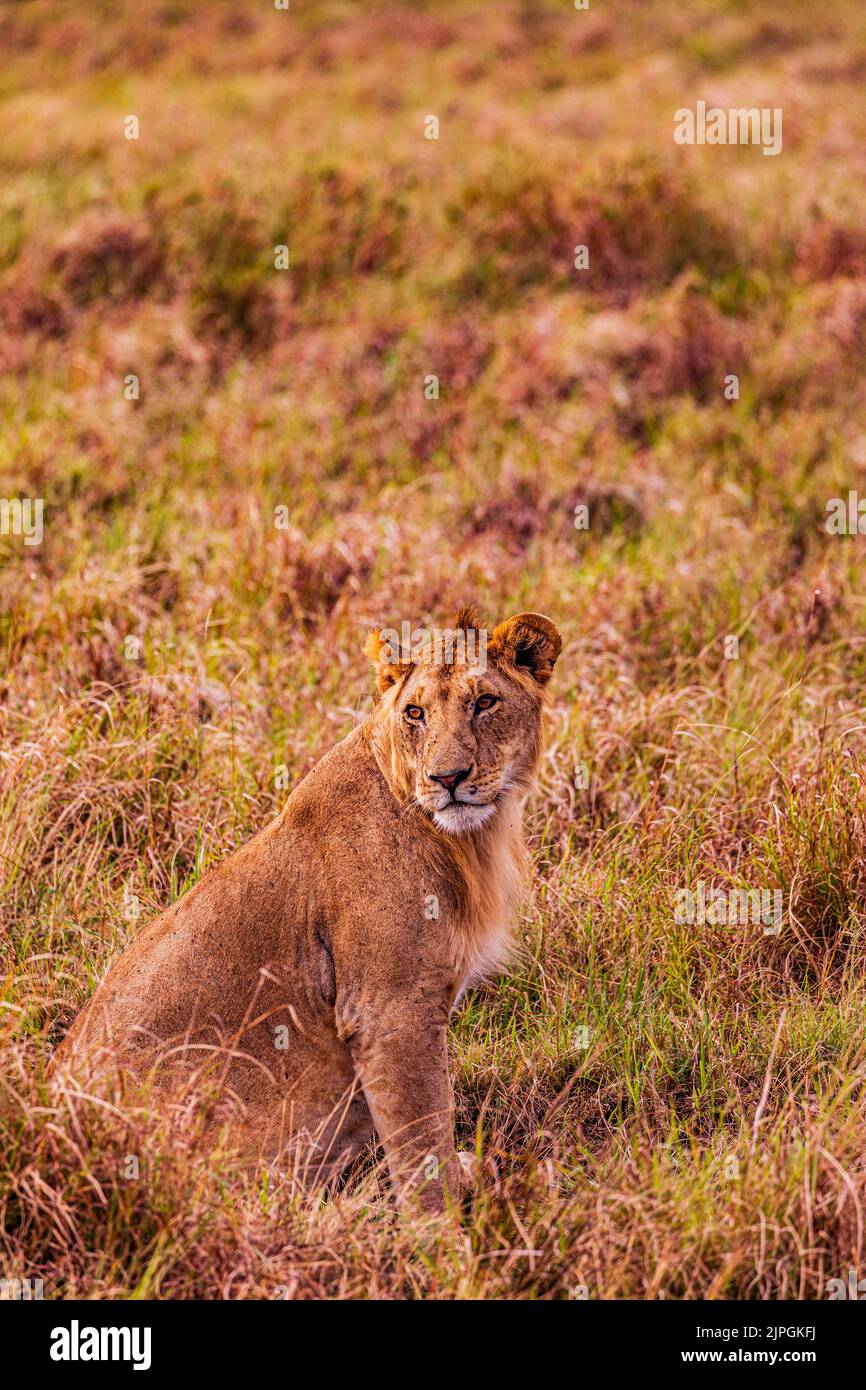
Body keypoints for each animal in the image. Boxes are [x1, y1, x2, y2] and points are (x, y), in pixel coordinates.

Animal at [50, 606, 562, 1212]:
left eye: (485, 703)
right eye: (415, 713)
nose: (447, 779)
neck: (465, 840)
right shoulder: (390, 1011)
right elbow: (423, 1142)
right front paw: (440, 1233)